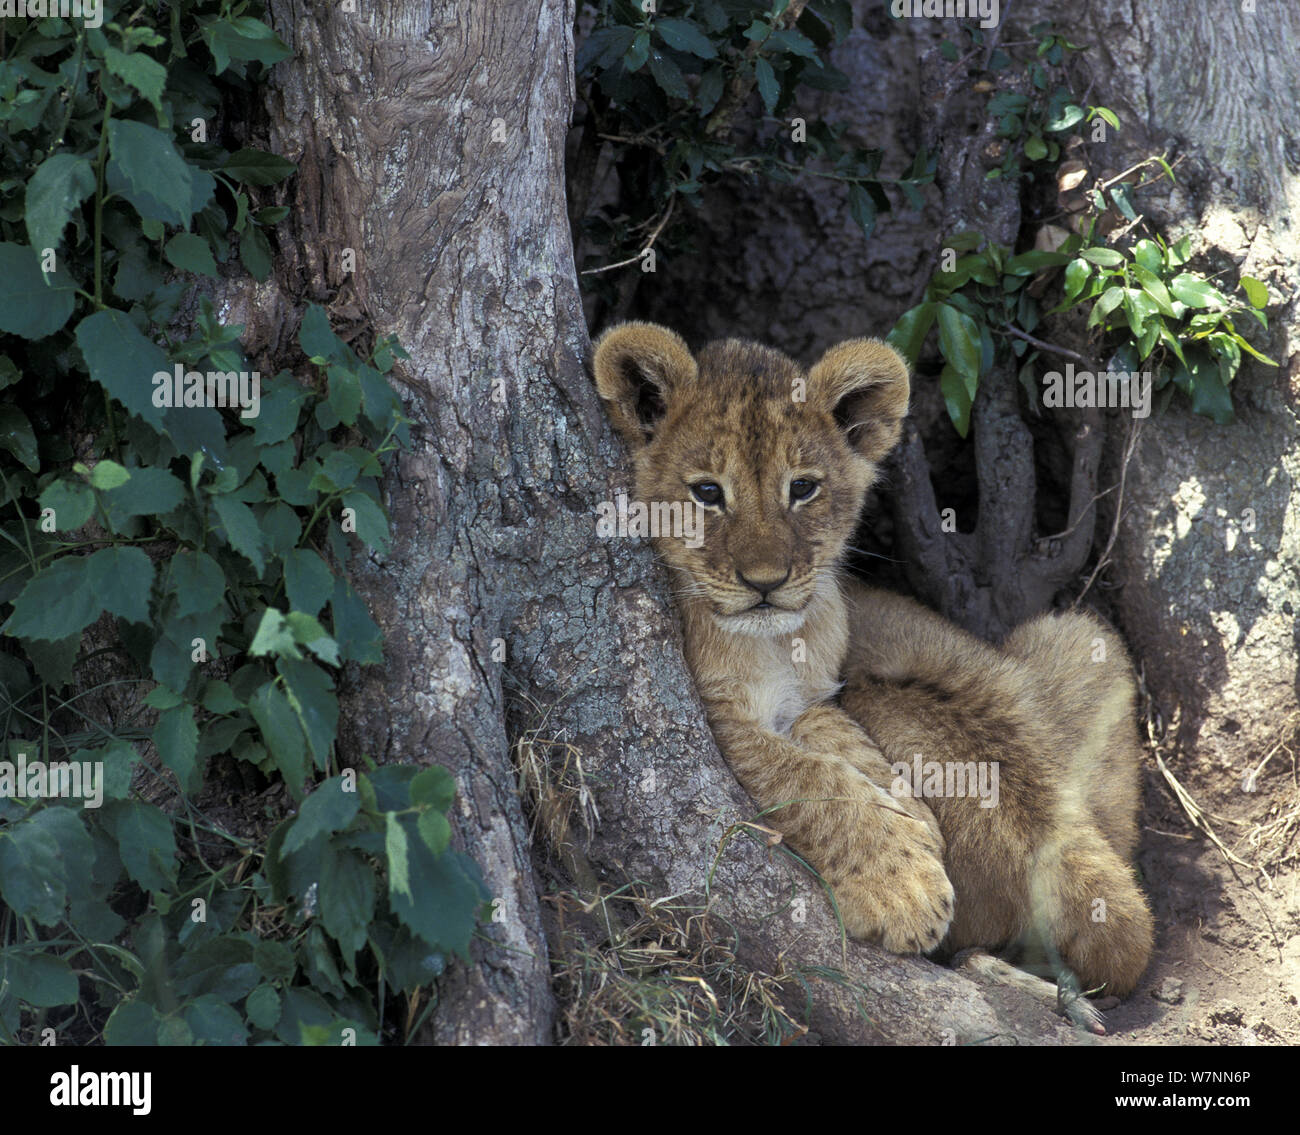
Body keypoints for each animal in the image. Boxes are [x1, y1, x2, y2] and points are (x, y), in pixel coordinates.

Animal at [591, 321, 1153, 1007]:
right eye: (706, 493)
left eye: (802, 488)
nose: (765, 583)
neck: (775, 641)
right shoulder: (718, 715)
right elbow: (805, 777)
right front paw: (902, 888)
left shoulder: (814, 697)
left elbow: (846, 757)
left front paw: (914, 829)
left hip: (1079, 632)